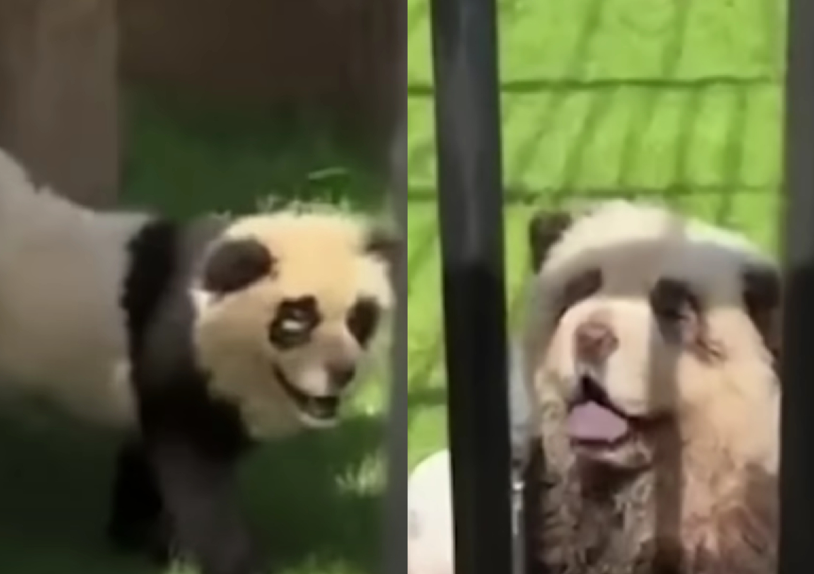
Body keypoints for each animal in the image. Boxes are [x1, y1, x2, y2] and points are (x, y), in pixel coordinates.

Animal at [0, 149, 398, 574]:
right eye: (296, 321)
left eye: (359, 320)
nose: (343, 373)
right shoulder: (179, 361)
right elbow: (197, 479)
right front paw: (236, 561)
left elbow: (147, 462)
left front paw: (144, 539)